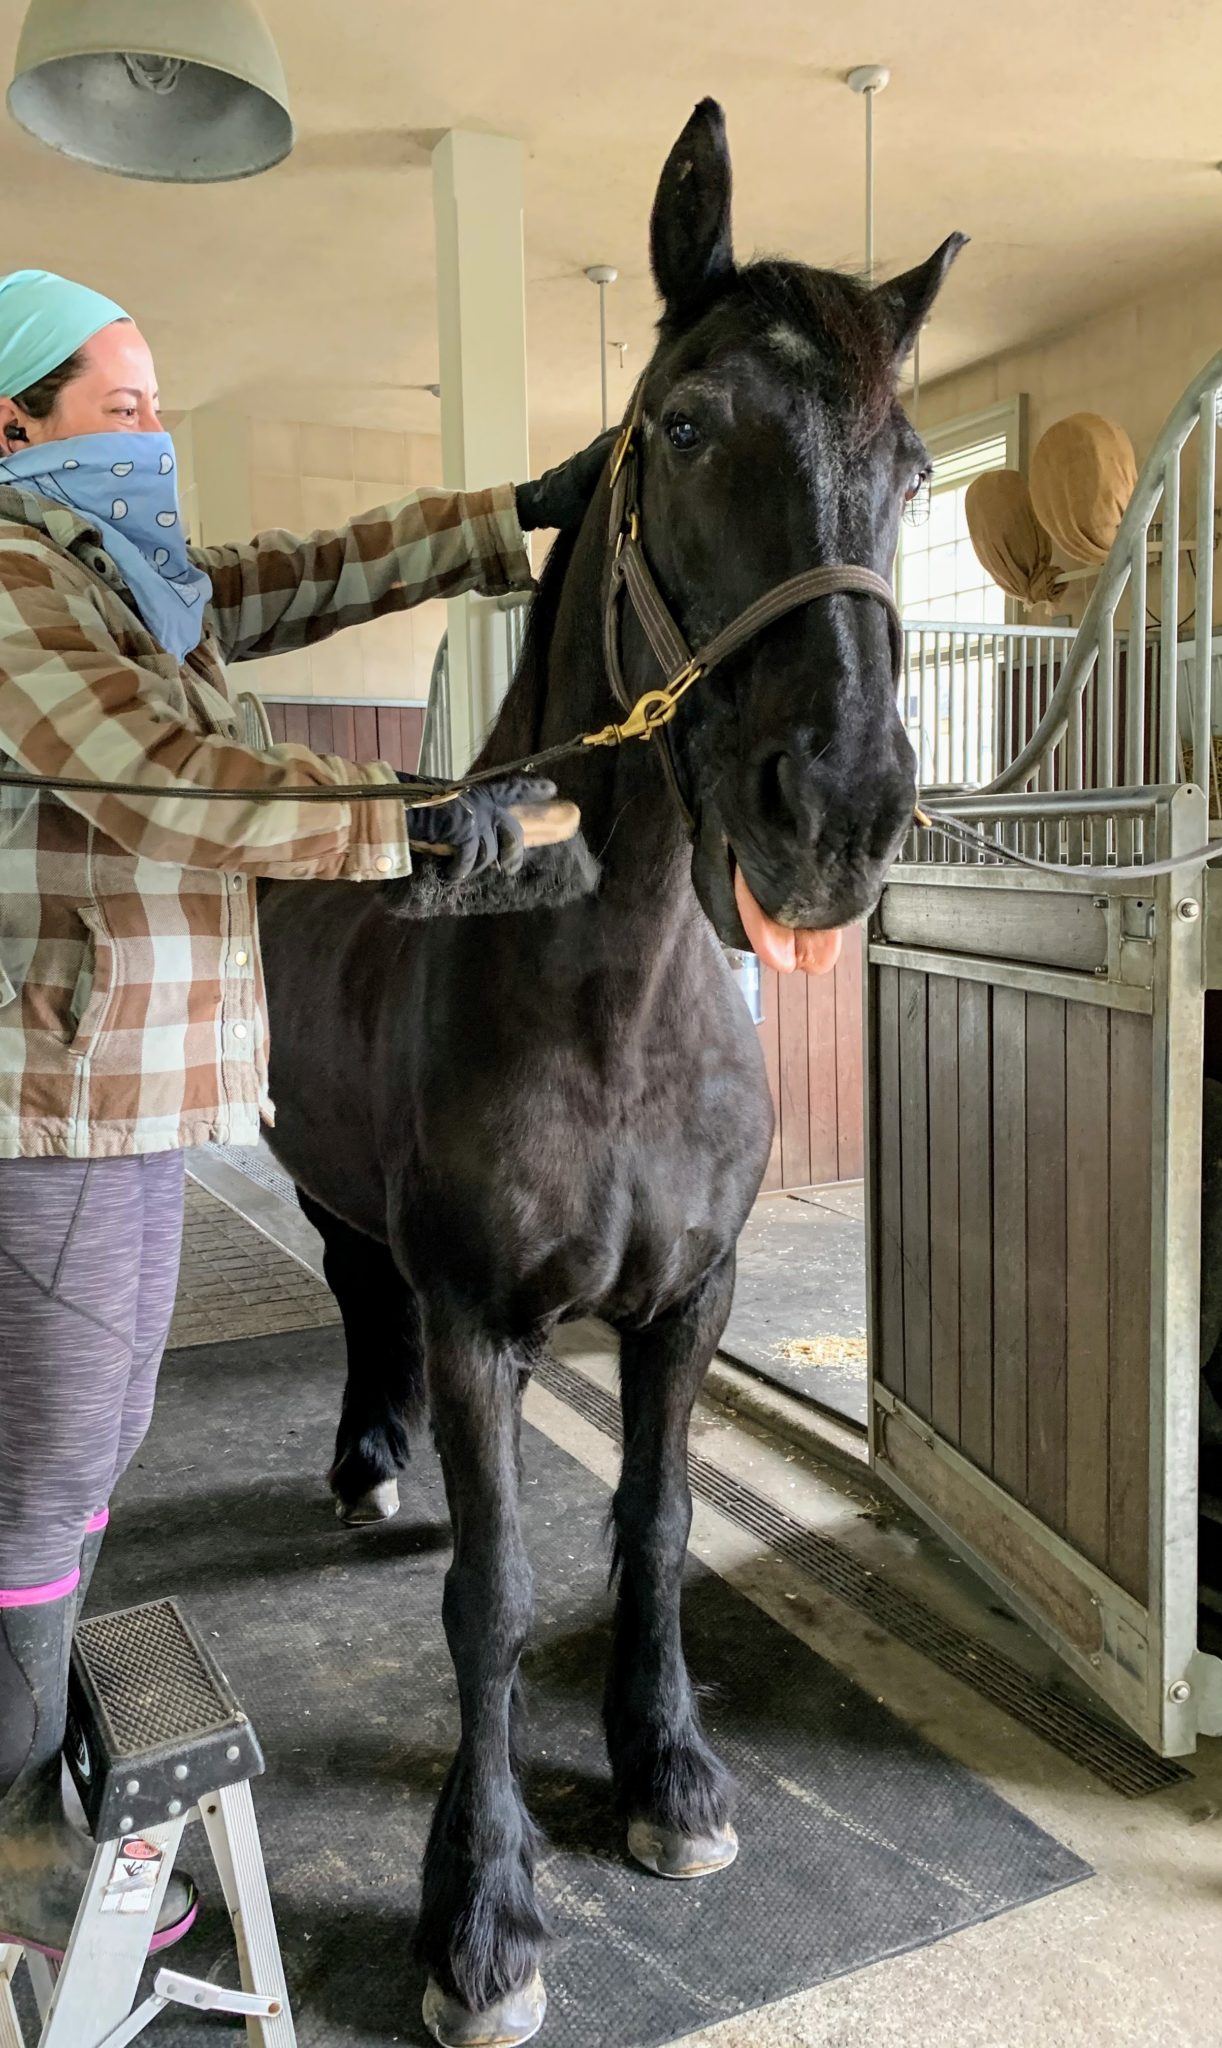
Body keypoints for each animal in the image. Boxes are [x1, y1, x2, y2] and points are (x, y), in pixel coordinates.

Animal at [258, 98, 963, 2048]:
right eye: (685, 426)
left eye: (916, 467)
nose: (842, 811)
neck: (619, 999)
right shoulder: (480, 1317)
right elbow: (492, 1596)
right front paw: (482, 1910)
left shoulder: (686, 1302)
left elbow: (650, 1530)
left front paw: (670, 1778)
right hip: (327, 1190)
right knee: (357, 1296)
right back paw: (369, 1457)